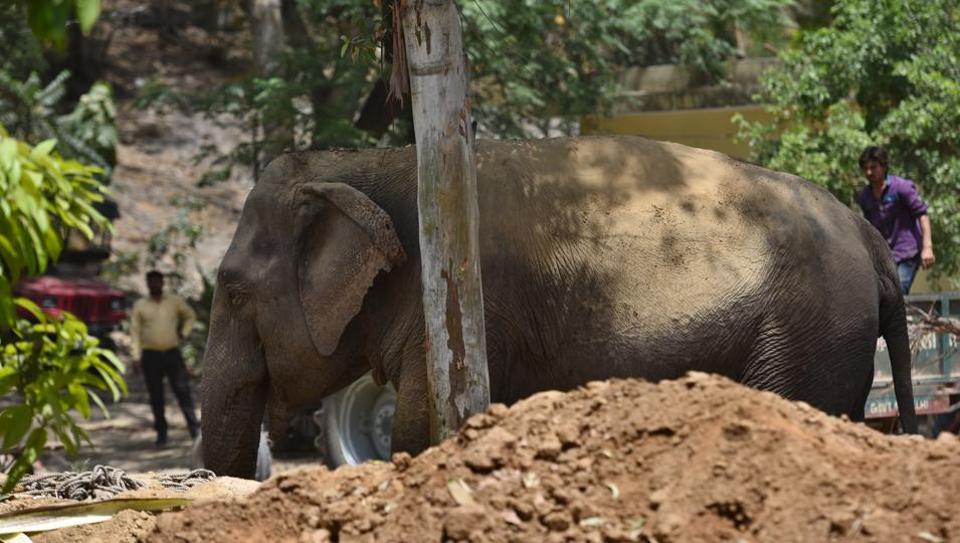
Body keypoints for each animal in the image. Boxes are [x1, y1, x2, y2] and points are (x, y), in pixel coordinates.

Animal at [201, 136, 917, 478]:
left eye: (233, 291)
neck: (363, 164)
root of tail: (867, 235)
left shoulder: (458, 313)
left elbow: (415, 433)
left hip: (807, 330)